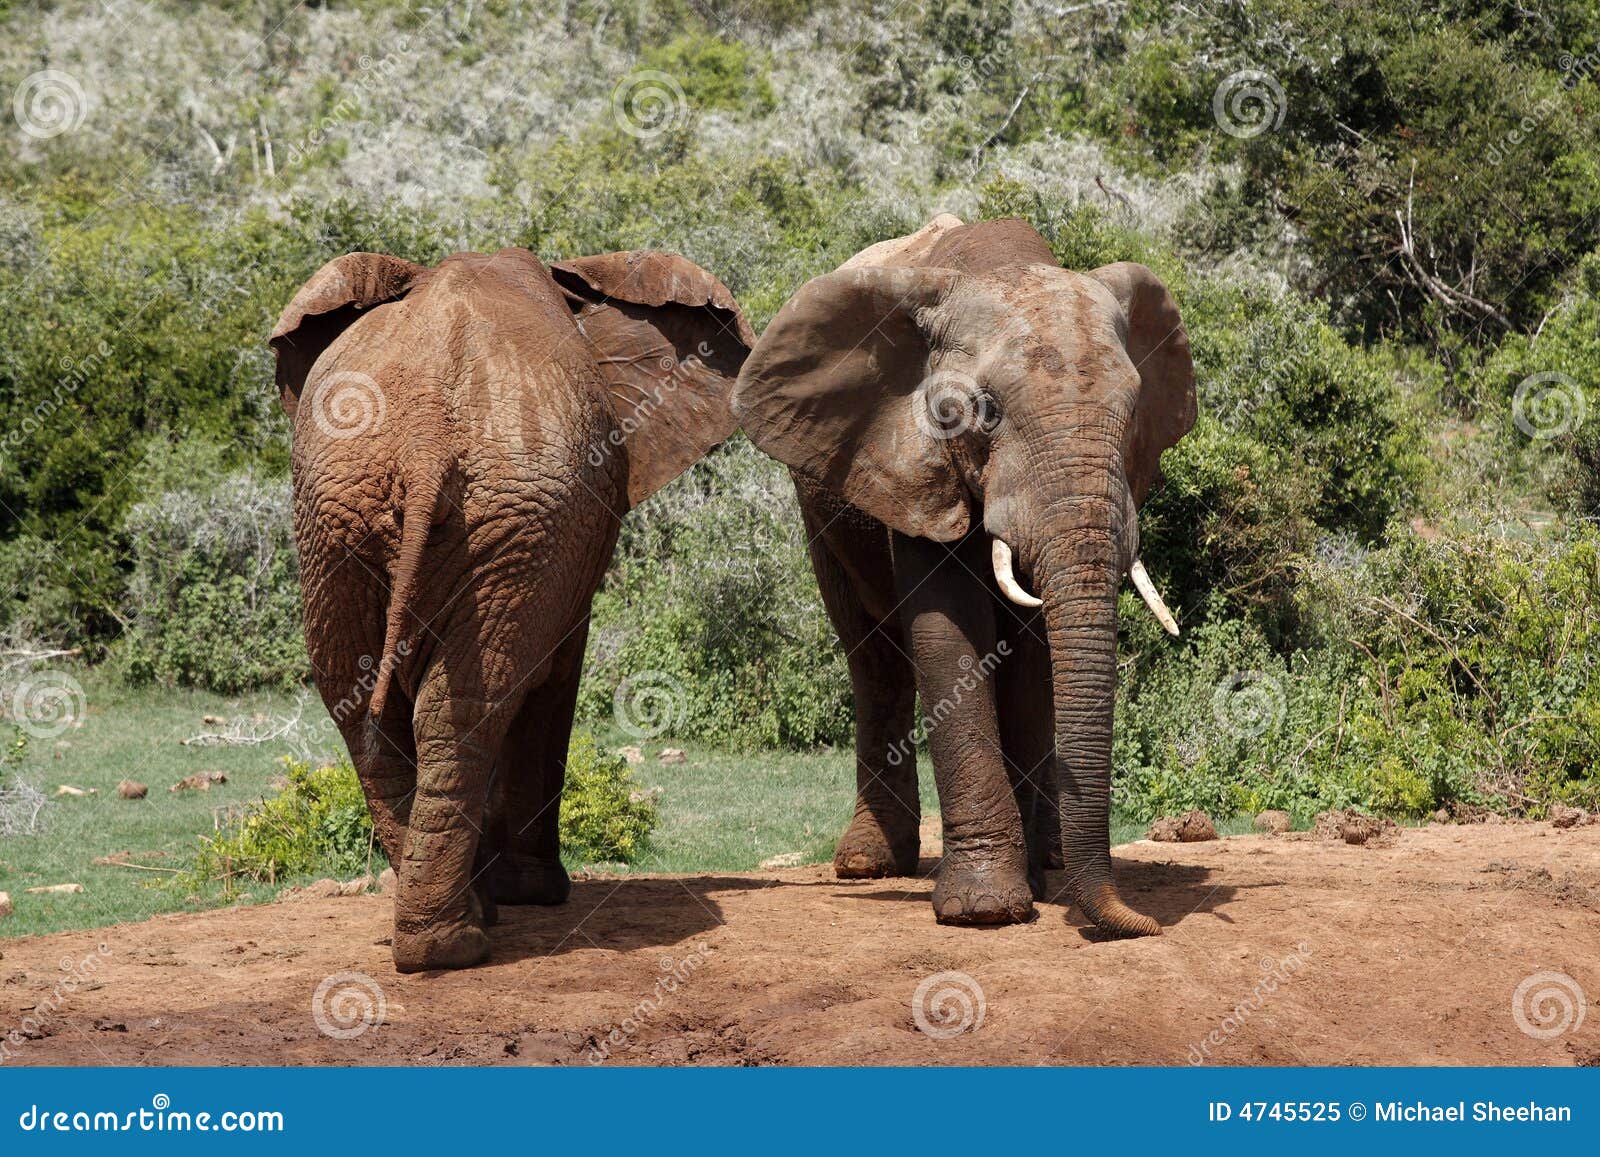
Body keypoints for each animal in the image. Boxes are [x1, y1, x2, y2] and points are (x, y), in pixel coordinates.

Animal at [270, 246, 753, 971]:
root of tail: (423, 439)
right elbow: (555, 675)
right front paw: (538, 894)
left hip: (351, 518)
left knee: (375, 706)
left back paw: (445, 934)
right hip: (486, 518)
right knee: (470, 702)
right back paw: (458, 942)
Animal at [732, 214, 1195, 936]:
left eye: (1134, 411)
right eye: (985, 410)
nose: (1146, 923)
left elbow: (1031, 652)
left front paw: (1033, 882)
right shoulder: (910, 457)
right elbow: (948, 628)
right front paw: (987, 909)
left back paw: (1050, 856)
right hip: (821, 504)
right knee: (872, 657)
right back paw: (868, 864)